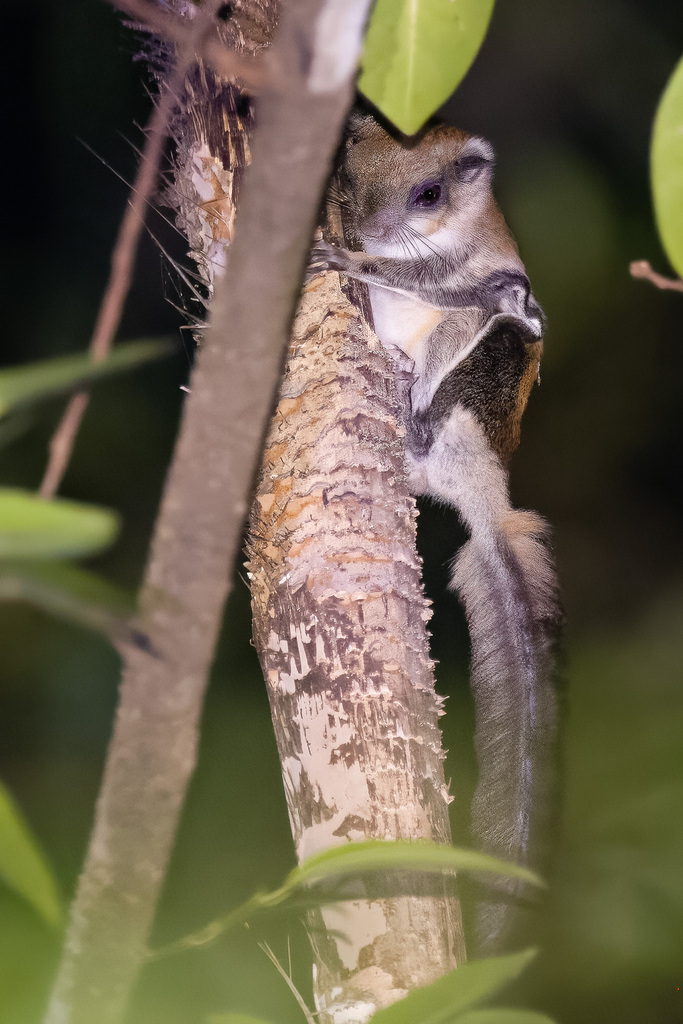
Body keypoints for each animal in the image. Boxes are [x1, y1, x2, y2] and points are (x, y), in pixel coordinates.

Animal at [311, 111, 562, 953]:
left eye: (426, 194)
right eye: (350, 177)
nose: (369, 229)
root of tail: (486, 497)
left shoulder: (463, 269)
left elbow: (454, 287)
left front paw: (346, 258)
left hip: (477, 389)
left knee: (499, 324)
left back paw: (413, 413)